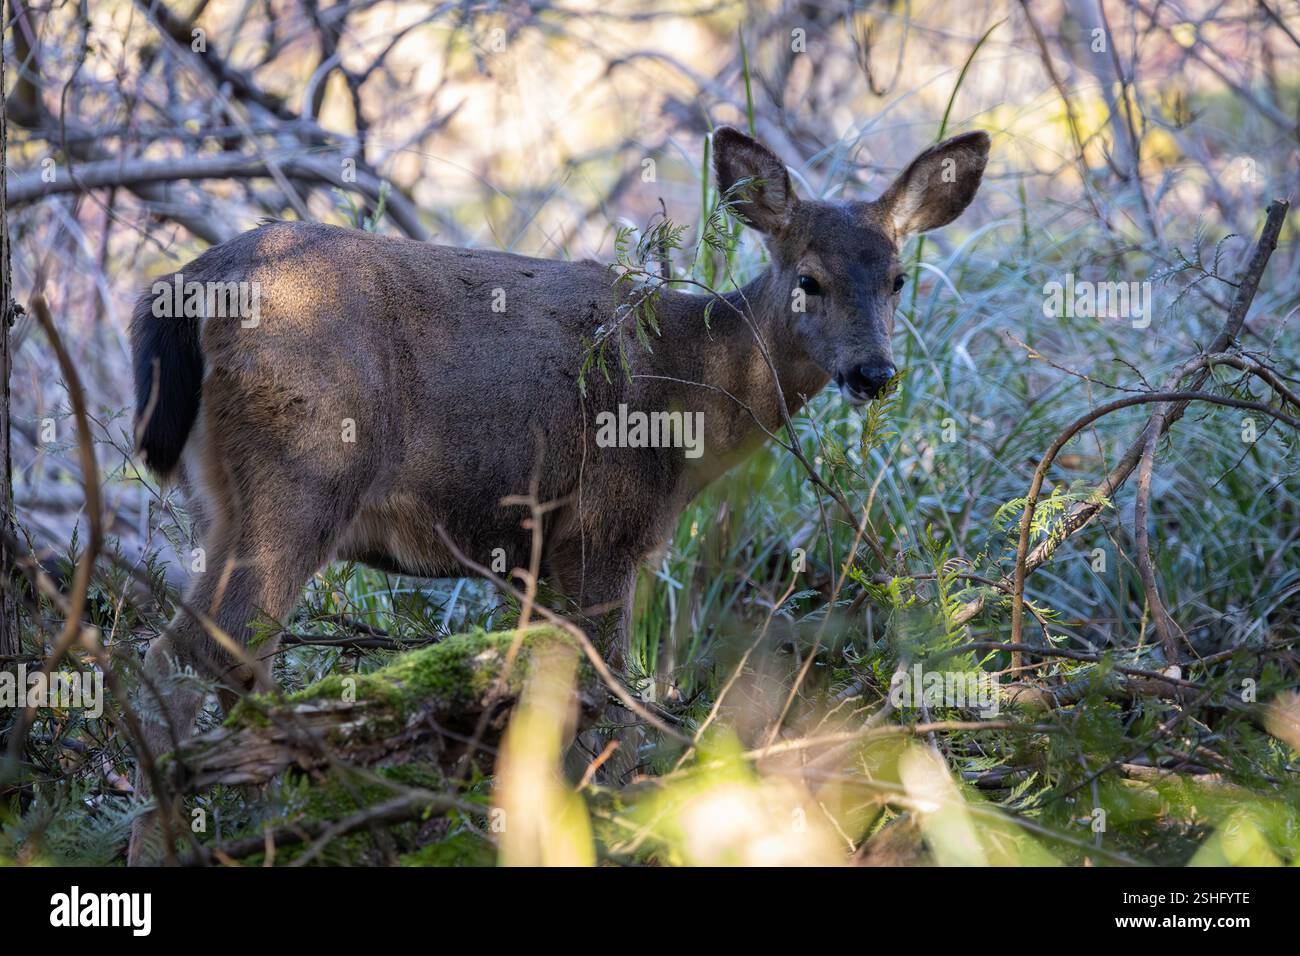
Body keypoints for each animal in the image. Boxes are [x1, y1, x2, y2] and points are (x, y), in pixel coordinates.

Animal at [126, 125, 989, 861]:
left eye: (900, 279)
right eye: (809, 279)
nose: (874, 372)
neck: (691, 392)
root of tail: (187, 284)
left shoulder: (533, 556)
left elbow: (537, 703)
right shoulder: (607, 529)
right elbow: (608, 702)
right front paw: (625, 826)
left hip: (219, 500)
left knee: (206, 660)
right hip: (302, 473)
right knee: (203, 652)